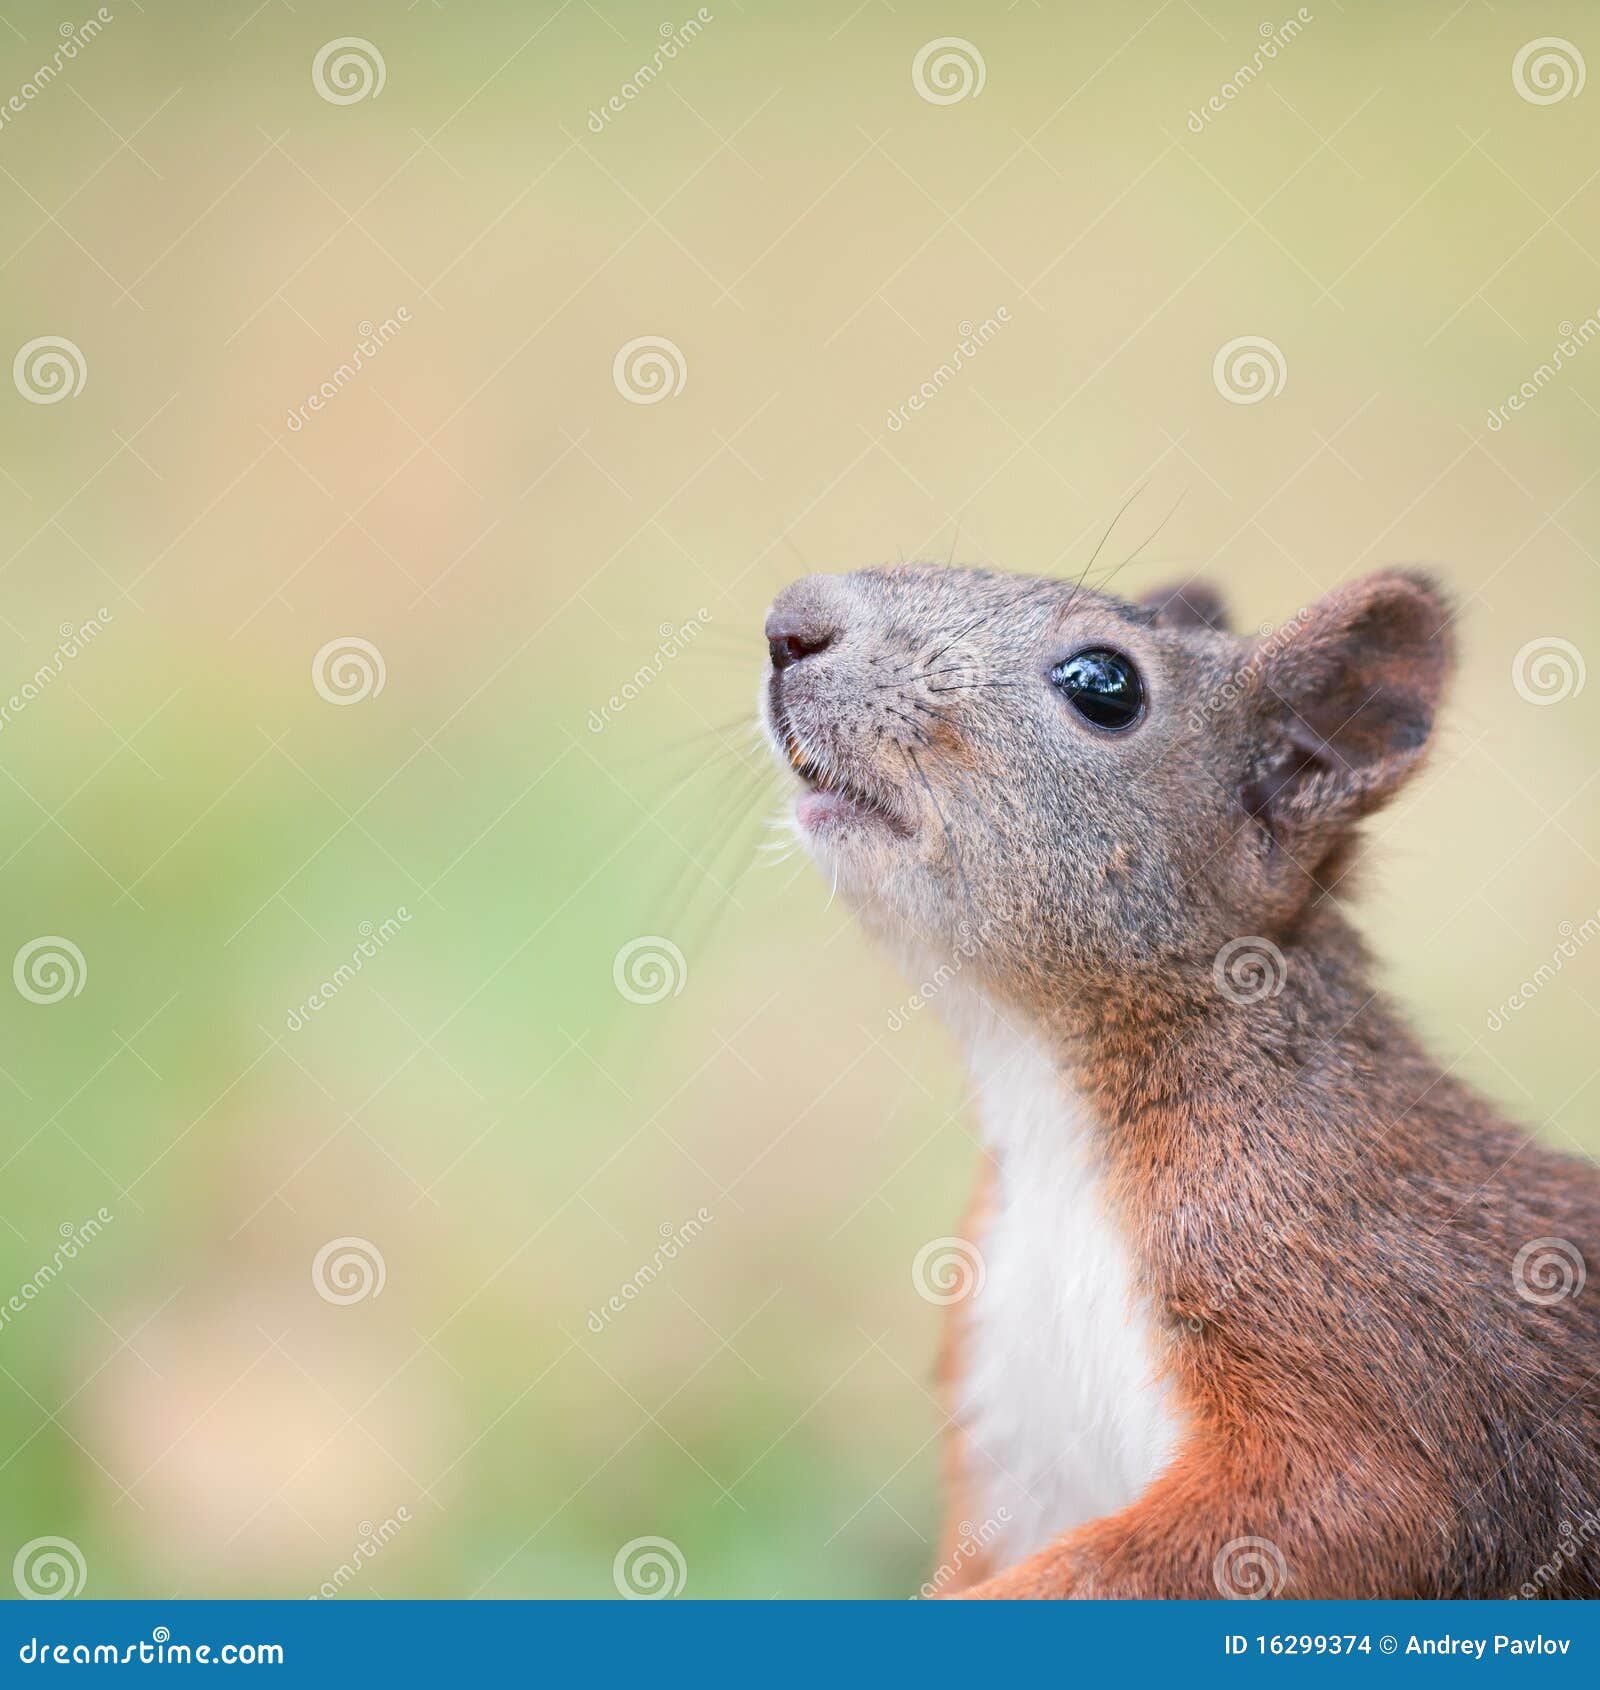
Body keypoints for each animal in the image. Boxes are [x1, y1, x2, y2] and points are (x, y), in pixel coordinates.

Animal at [761, 562, 1600, 1600]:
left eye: (1104, 684)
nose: (790, 625)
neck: (1051, 1105)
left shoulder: (1357, 1311)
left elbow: (1339, 1507)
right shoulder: (1012, 1420)